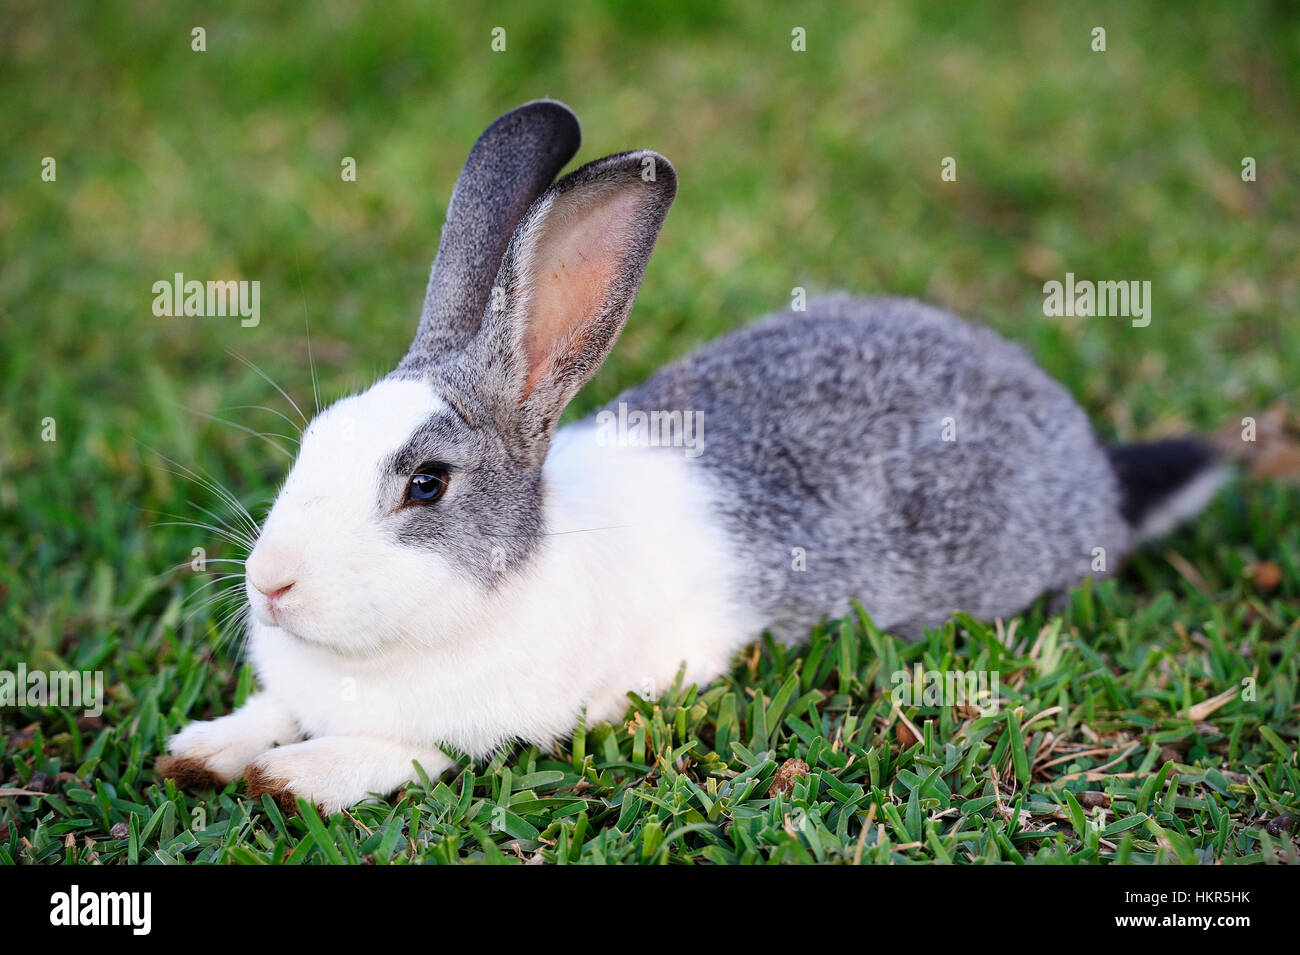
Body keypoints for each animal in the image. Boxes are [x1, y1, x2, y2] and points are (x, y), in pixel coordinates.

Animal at [158, 99, 1226, 813]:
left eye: (427, 483)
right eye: (312, 443)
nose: (270, 583)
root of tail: (1092, 466)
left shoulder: (499, 726)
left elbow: (402, 753)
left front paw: (294, 776)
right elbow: (271, 708)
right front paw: (201, 751)